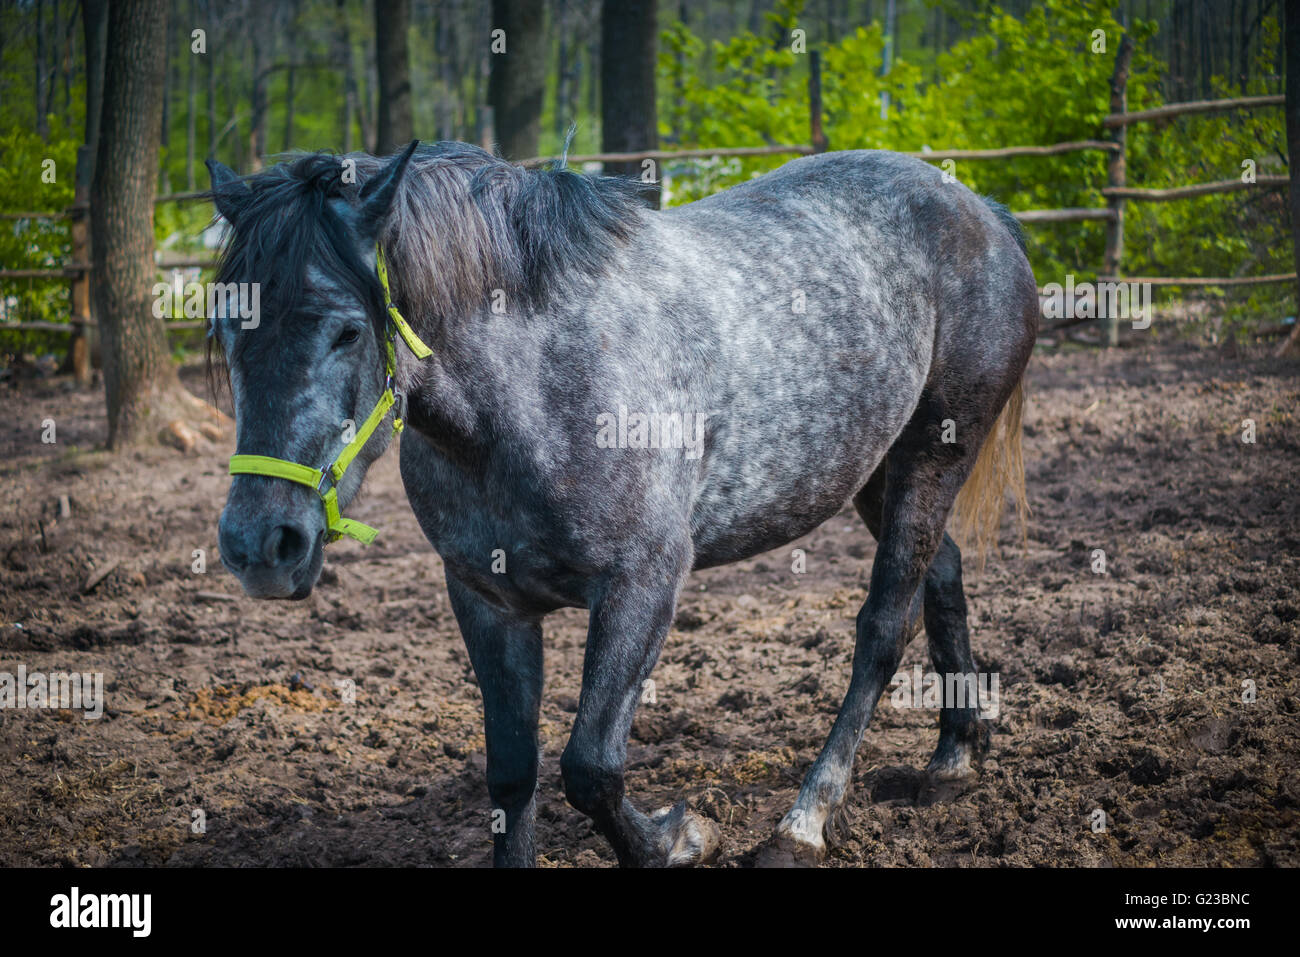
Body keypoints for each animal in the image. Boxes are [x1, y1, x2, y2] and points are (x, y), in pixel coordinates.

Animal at [206, 139, 1036, 867]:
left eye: (348, 331)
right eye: (224, 328)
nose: (261, 545)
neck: (535, 390)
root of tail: (981, 209)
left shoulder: (644, 583)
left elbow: (591, 768)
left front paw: (684, 836)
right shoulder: (485, 598)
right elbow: (513, 771)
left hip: (934, 453)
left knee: (884, 626)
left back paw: (803, 823)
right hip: (871, 468)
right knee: (943, 574)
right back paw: (952, 757)